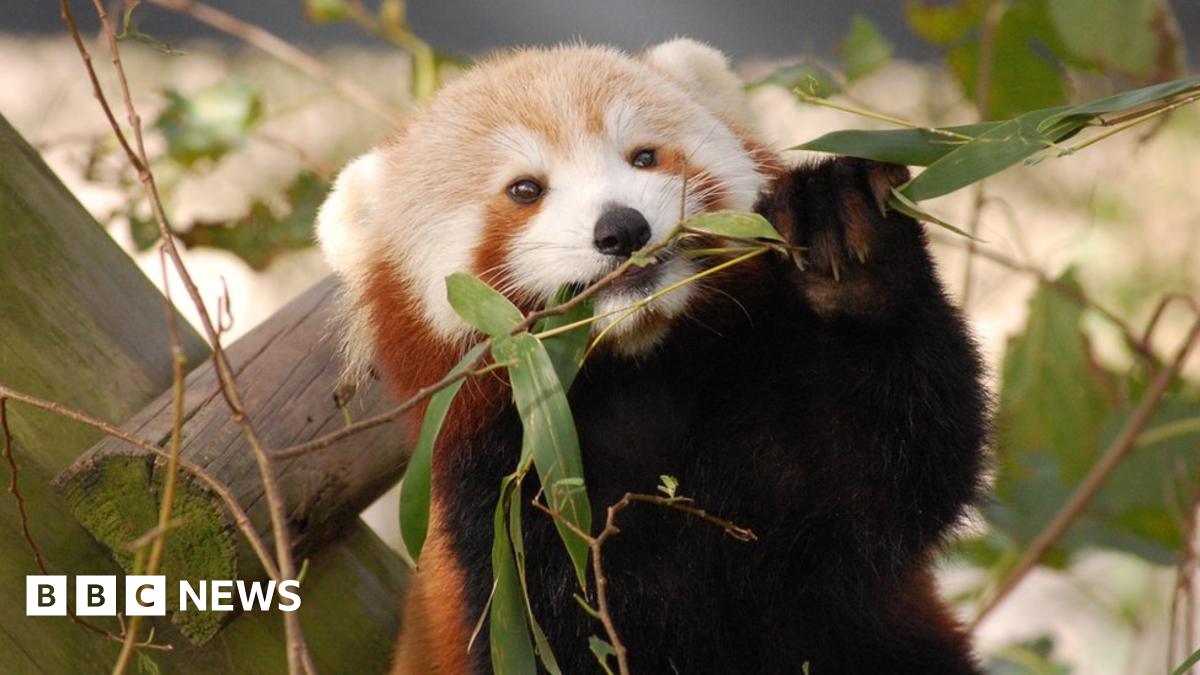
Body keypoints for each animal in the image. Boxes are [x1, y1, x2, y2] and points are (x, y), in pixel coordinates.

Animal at [316, 38, 989, 674]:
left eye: (643, 156)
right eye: (525, 190)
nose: (622, 228)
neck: (634, 379)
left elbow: (891, 468)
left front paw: (841, 235)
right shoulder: (505, 529)